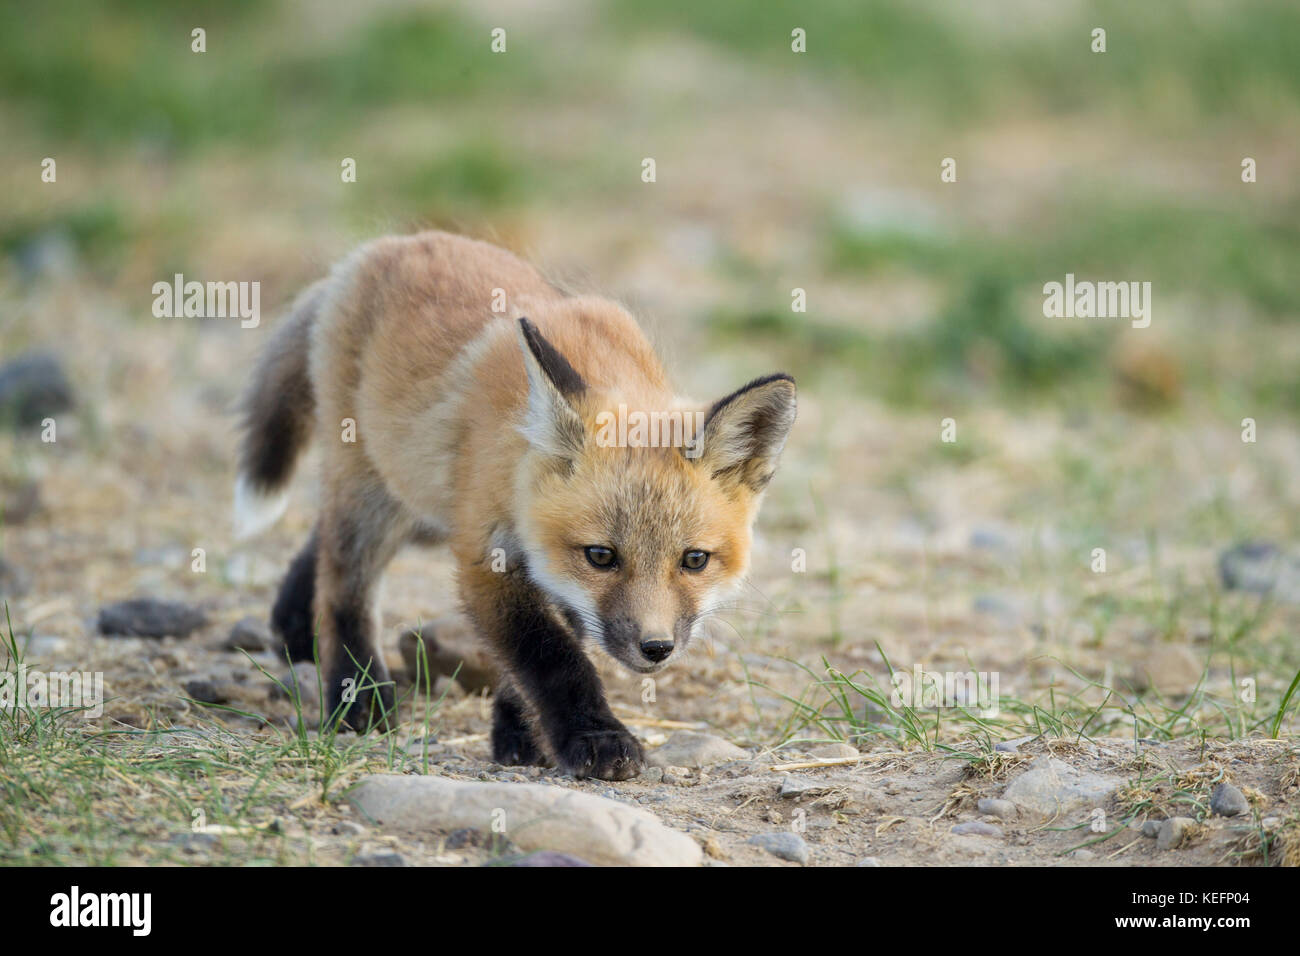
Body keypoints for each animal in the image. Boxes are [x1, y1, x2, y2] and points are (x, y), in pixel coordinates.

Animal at [234, 231, 796, 780]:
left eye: (694, 560)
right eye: (602, 556)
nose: (656, 648)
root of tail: (378, 247)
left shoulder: (550, 570)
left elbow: (545, 650)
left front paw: (519, 733)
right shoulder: (486, 557)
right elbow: (549, 654)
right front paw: (595, 737)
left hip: (418, 500)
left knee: (321, 539)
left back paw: (293, 628)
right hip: (373, 490)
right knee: (343, 581)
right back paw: (356, 697)